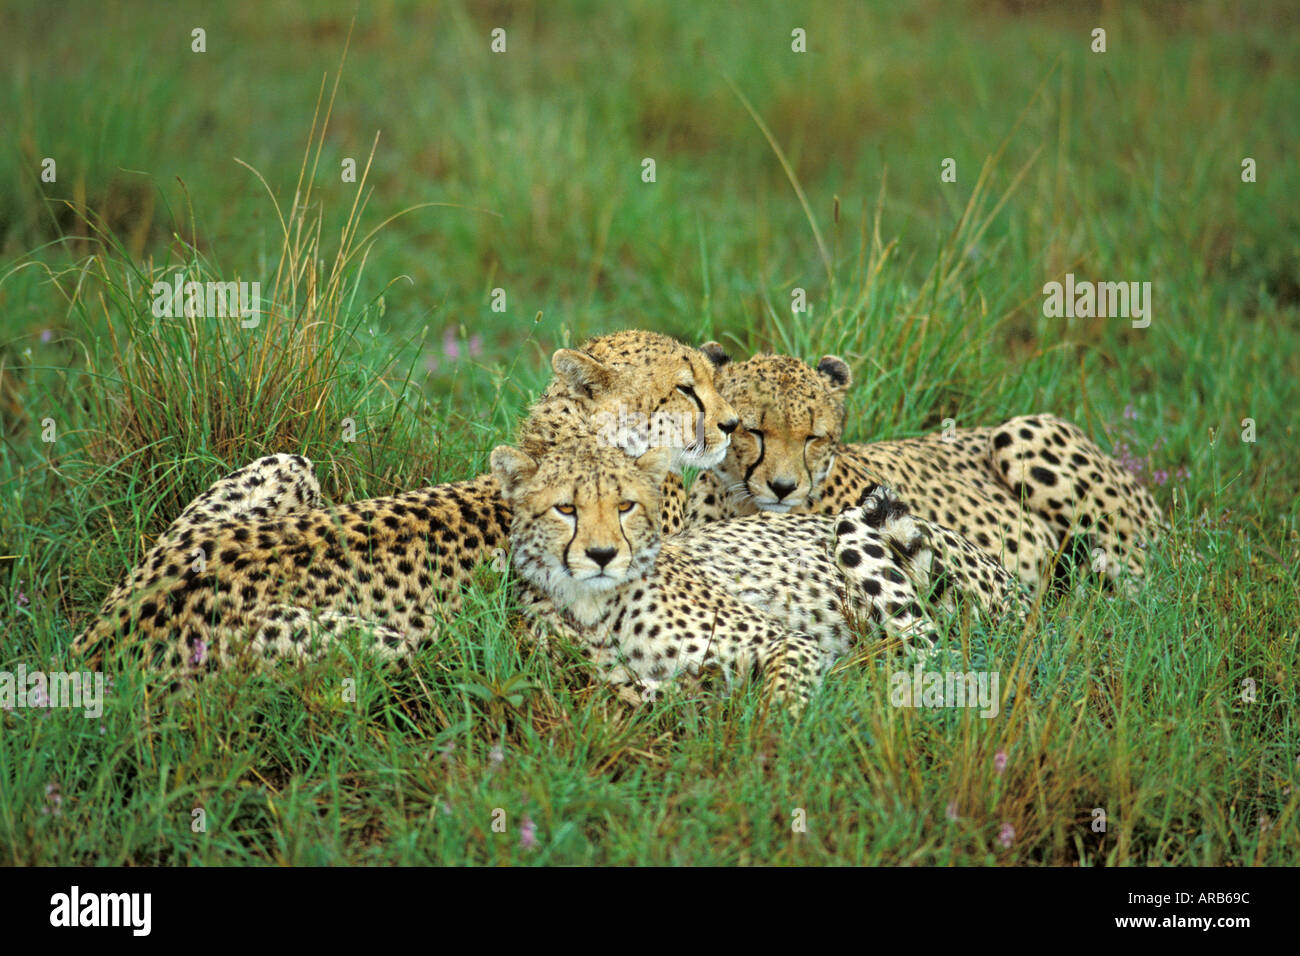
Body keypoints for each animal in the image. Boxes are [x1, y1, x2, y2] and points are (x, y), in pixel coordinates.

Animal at [71, 330, 739, 673]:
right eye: (686, 390)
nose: (732, 425)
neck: (577, 435)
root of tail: (106, 634)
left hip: (284, 466)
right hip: (385, 644)